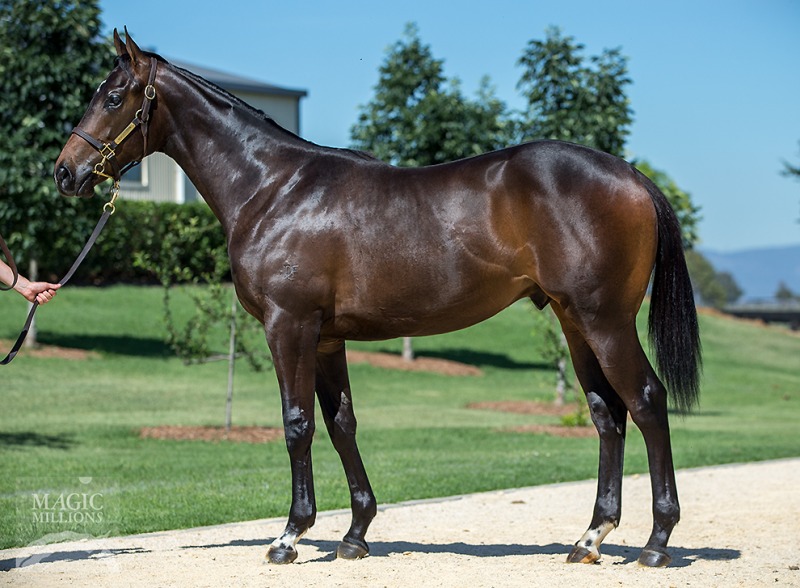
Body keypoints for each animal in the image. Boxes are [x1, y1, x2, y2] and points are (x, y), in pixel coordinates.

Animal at [54, 30, 701, 568]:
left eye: (113, 97)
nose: (65, 172)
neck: (273, 188)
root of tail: (632, 177)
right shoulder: (327, 337)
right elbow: (341, 424)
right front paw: (355, 534)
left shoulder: (289, 326)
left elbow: (296, 425)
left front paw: (289, 536)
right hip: (574, 321)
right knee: (606, 413)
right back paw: (589, 538)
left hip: (604, 319)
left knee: (646, 401)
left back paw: (656, 542)